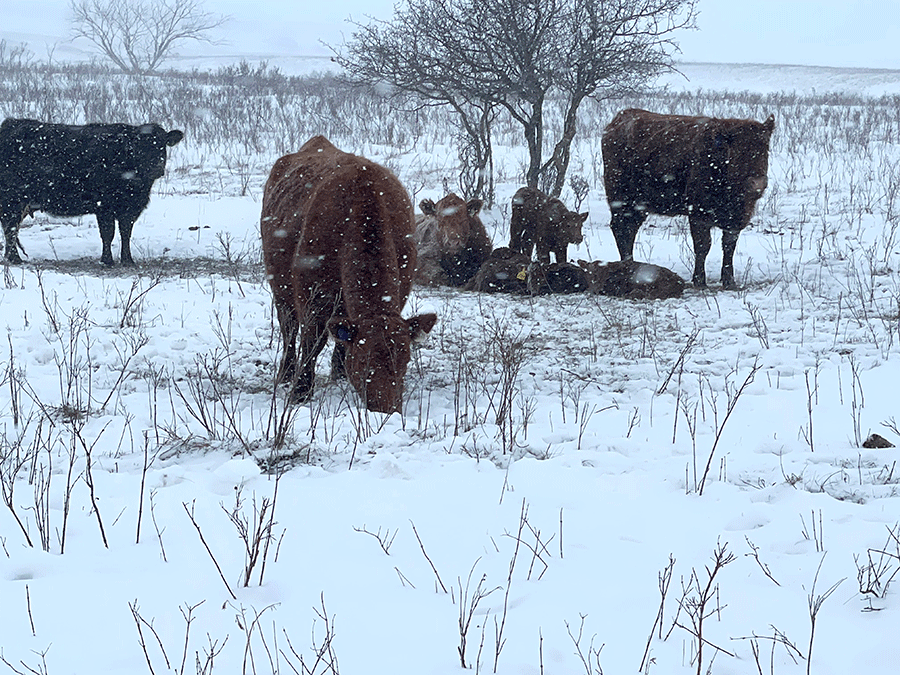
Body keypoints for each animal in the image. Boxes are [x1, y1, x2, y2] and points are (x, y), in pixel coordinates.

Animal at [0, 118, 183, 265]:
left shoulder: (130, 208)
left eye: (162, 145)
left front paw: (127, 260)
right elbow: (108, 233)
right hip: (12, 200)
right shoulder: (104, 206)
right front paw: (107, 261)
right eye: (140, 146)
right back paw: (15, 259)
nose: (156, 168)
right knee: (10, 228)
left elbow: (125, 233)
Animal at [260, 135, 437, 414]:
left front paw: (340, 375)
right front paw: (300, 392)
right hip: (280, 288)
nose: (387, 411)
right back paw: (286, 374)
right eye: (364, 362)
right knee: (289, 330)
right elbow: (312, 343)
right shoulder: (313, 299)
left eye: (406, 360)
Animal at [601, 108, 775, 289]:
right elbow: (703, 246)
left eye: (765, 149)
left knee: (630, 229)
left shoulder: (735, 219)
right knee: (620, 228)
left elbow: (728, 246)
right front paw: (699, 280)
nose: (757, 184)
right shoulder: (698, 214)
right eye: (740, 150)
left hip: (638, 207)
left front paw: (729, 281)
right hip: (620, 200)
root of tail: (617, 122)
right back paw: (626, 265)